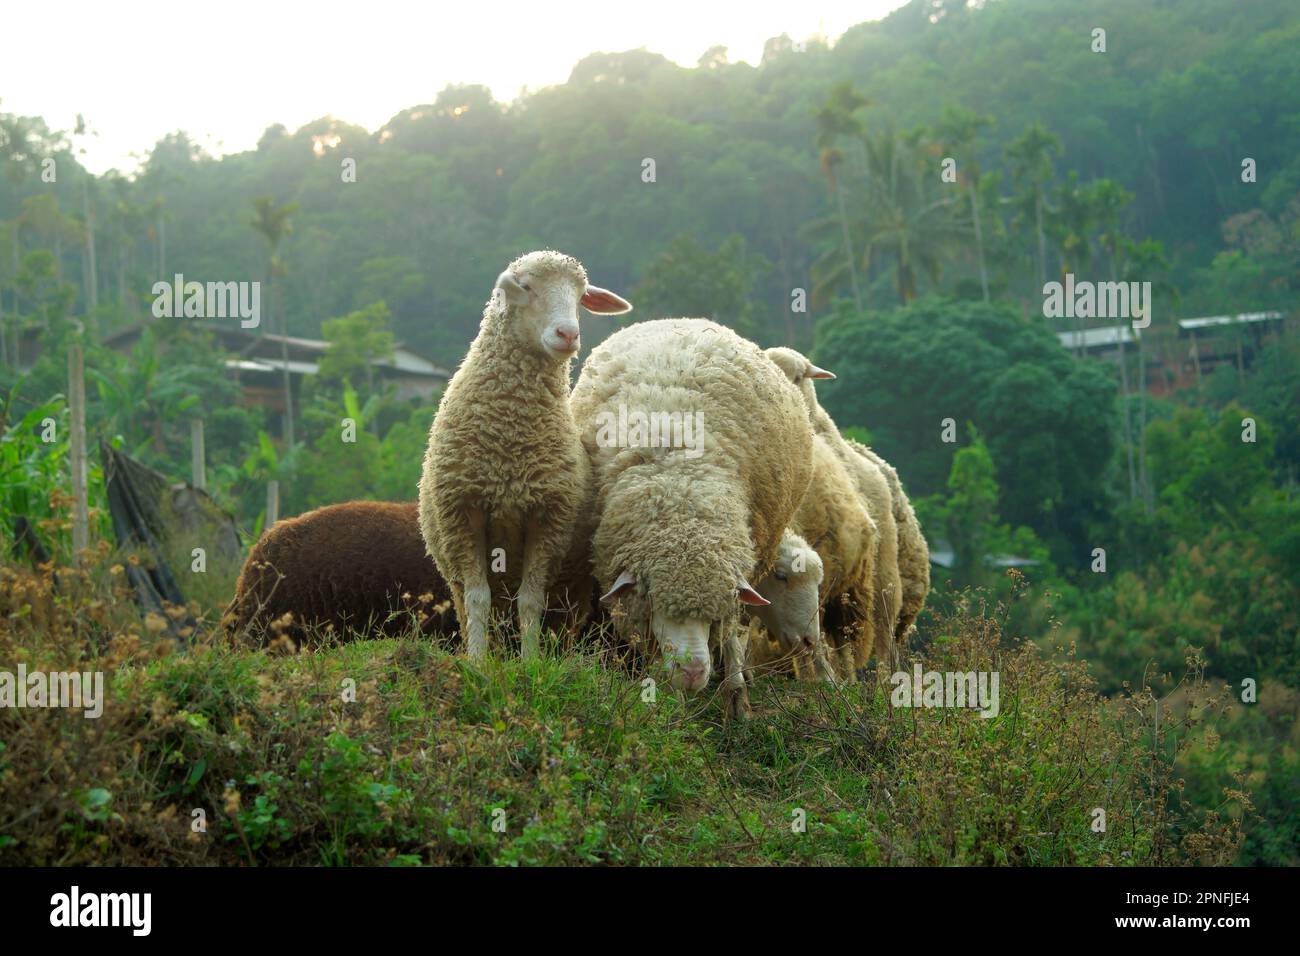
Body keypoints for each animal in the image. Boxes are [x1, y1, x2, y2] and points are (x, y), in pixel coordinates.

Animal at [418, 251, 631, 661]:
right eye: (527, 287)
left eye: (581, 296)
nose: (568, 334)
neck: (511, 437)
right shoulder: (463, 513)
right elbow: (478, 598)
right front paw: (477, 662)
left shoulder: (548, 519)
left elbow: (530, 601)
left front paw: (531, 663)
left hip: (572, 589)